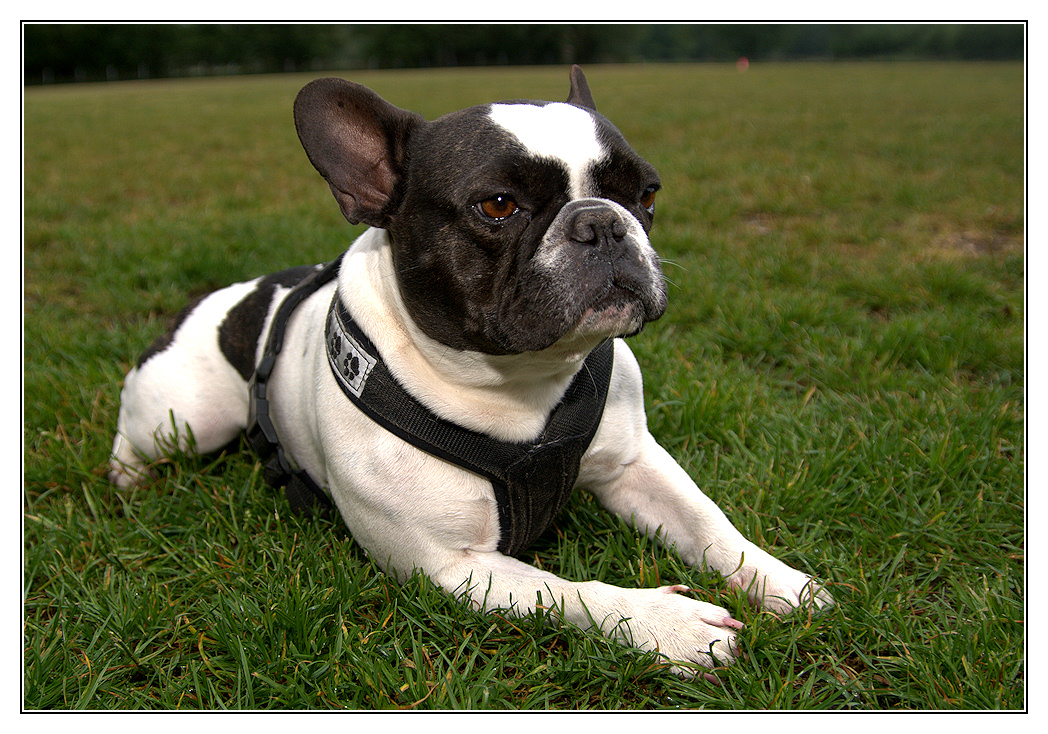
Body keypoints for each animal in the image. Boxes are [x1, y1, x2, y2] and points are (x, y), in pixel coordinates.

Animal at [110, 66, 830, 675]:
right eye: (498, 206)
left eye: (646, 193)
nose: (602, 223)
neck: (520, 384)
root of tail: (236, 295)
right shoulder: (451, 565)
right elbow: (570, 592)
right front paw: (667, 622)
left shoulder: (635, 464)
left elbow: (709, 524)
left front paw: (785, 584)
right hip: (184, 418)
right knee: (137, 434)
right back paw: (129, 478)